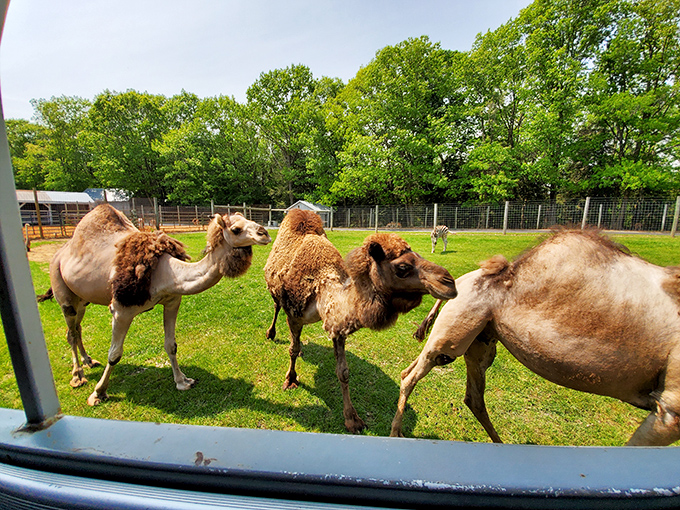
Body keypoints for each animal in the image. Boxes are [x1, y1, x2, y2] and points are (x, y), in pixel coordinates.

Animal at [39, 203, 271, 406]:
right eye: (236, 229)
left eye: (249, 220)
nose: (264, 233)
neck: (165, 272)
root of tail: (60, 253)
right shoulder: (121, 309)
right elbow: (114, 354)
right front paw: (98, 394)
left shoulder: (172, 300)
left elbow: (171, 345)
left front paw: (183, 381)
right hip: (62, 291)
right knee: (70, 331)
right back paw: (78, 376)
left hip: (82, 299)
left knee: (77, 328)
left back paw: (88, 361)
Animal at [264, 209, 458, 433]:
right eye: (402, 267)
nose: (449, 282)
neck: (320, 287)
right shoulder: (294, 315)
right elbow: (292, 350)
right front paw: (290, 379)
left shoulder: (337, 327)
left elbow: (343, 372)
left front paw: (352, 420)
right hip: (275, 292)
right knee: (276, 307)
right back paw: (271, 333)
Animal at [390, 229, 680, 446]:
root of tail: (458, 282)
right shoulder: (670, 408)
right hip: (455, 334)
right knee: (412, 374)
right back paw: (396, 432)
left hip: (480, 339)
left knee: (472, 395)